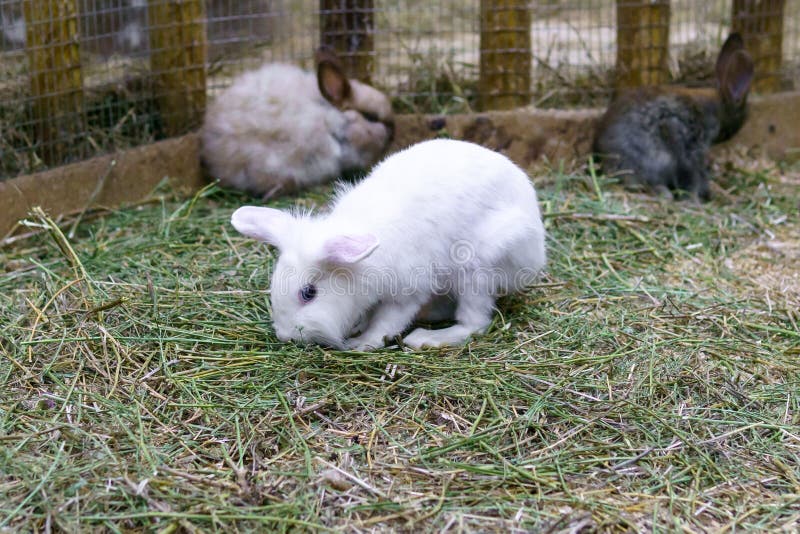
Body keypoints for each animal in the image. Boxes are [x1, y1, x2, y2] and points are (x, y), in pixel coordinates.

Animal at [230, 139, 547, 351]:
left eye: (309, 293)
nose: (285, 336)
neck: (358, 268)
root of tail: (537, 254)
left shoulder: (406, 292)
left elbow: (385, 324)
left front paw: (361, 343)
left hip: (479, 268)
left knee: (474, 322)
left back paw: (428, 338)